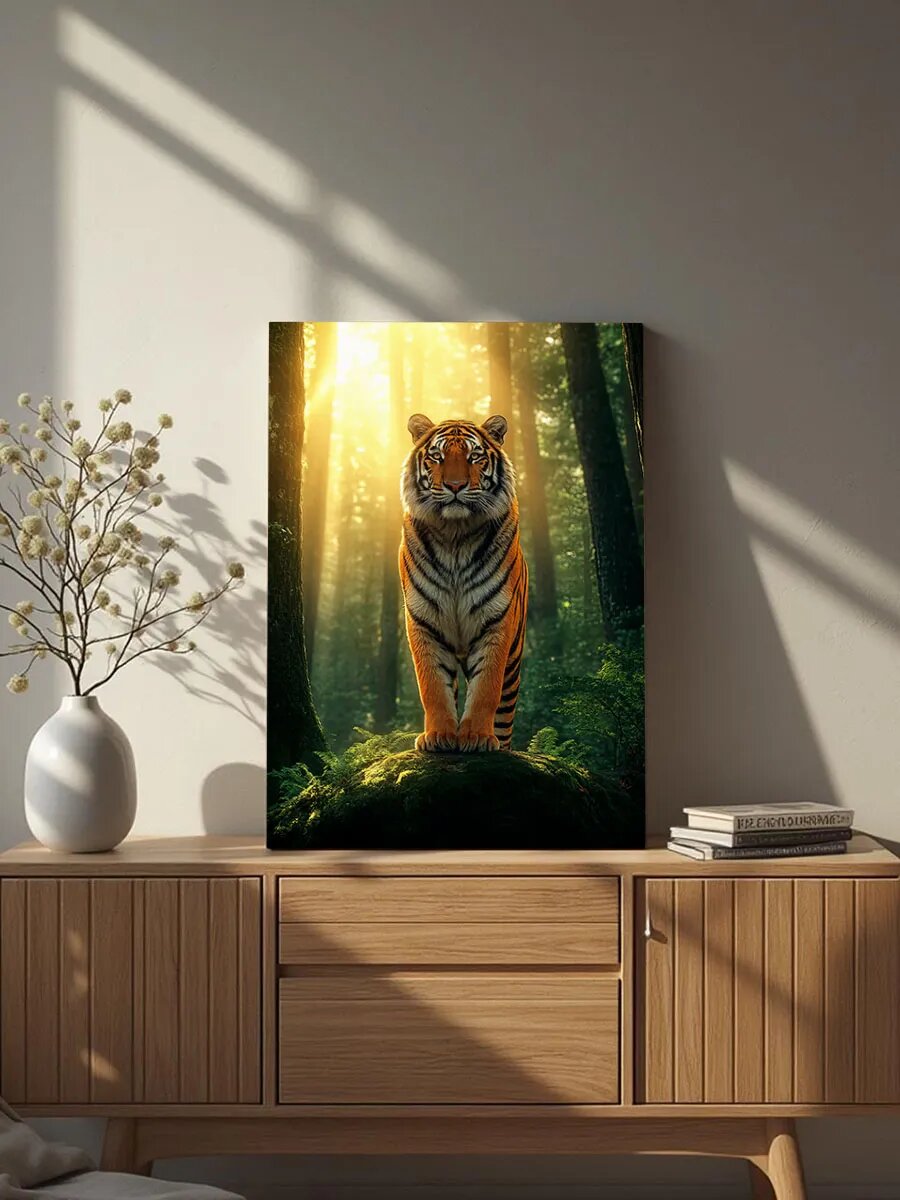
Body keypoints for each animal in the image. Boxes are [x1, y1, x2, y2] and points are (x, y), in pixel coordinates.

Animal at [399, 412, 528, 753]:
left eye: (475, 457)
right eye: (437, 457)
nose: (455, 486)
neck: (454, 534)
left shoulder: (496, 618)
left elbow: (486, 687)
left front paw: (478, 738)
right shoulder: (424, 619)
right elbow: (432, 685)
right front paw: (438, 736)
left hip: (514, 661)